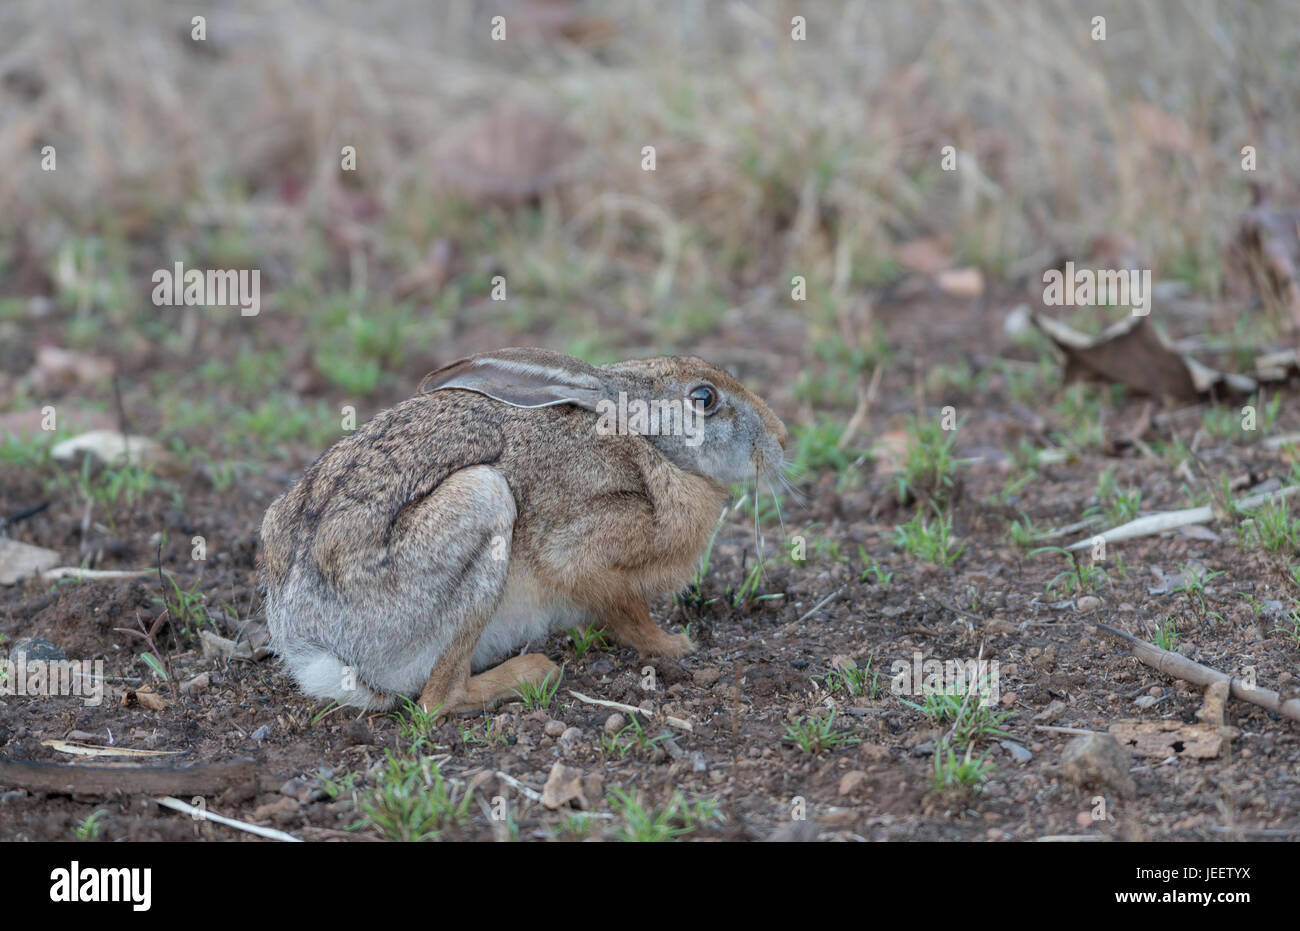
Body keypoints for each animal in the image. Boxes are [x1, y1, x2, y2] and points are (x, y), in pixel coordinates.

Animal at [260, 347, 787, 715]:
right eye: (704, 399)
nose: (781, 437)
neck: (649, 445)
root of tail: (311, 644)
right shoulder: (586, 555)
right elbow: (628, 613)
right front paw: (675, 645)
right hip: (481, 503)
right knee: (437, 700)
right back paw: (532, 672)